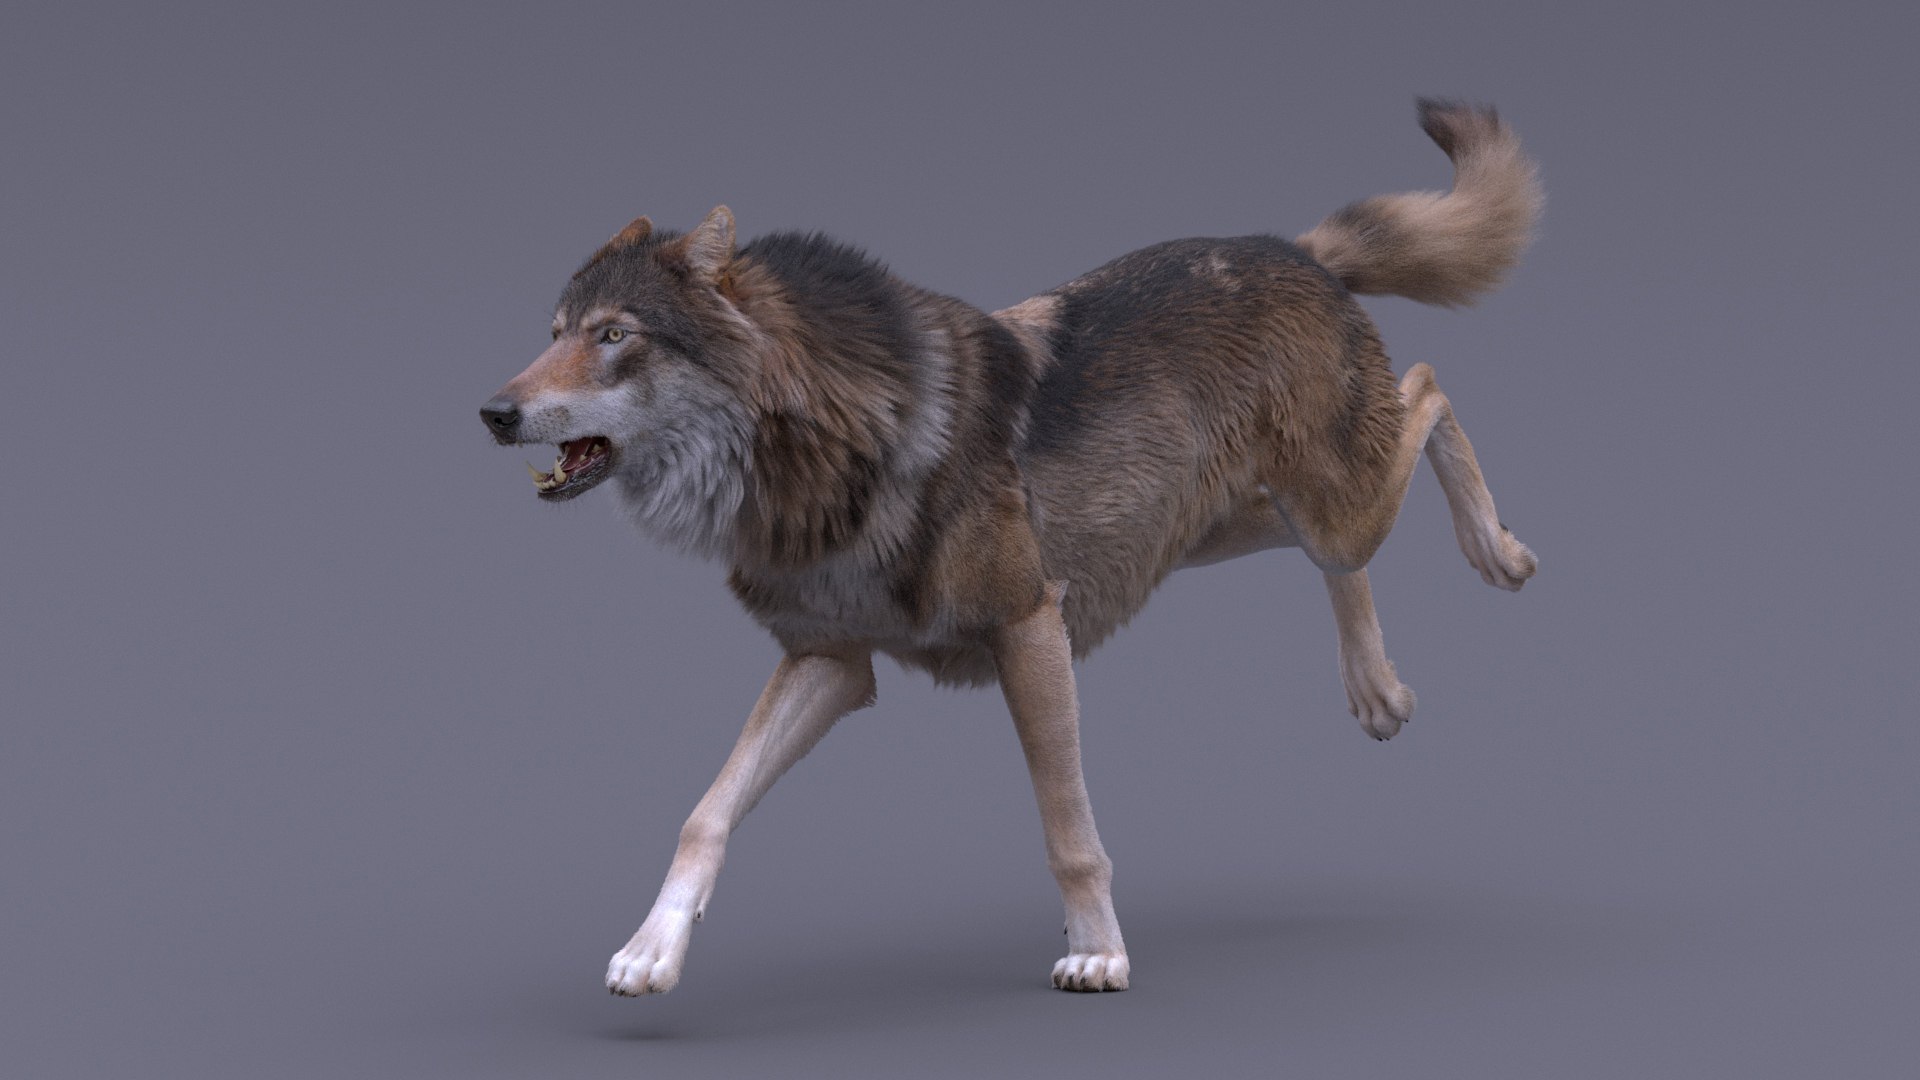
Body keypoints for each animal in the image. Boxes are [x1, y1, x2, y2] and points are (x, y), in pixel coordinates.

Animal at [480, 99, 1543, 995]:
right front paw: (651, 950)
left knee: (1430, 388)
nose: (491, 412)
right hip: (1236, 526)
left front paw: (1100, 954)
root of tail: (1299, 248)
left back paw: (1499, 554)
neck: (835, 449)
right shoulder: (831, 662)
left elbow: (1068, 826)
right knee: (1351, 534)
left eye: (613, 336)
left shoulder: (1033, 624)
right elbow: (705, 811)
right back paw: (1376, 690)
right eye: (553, 332)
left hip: (1321, 503)